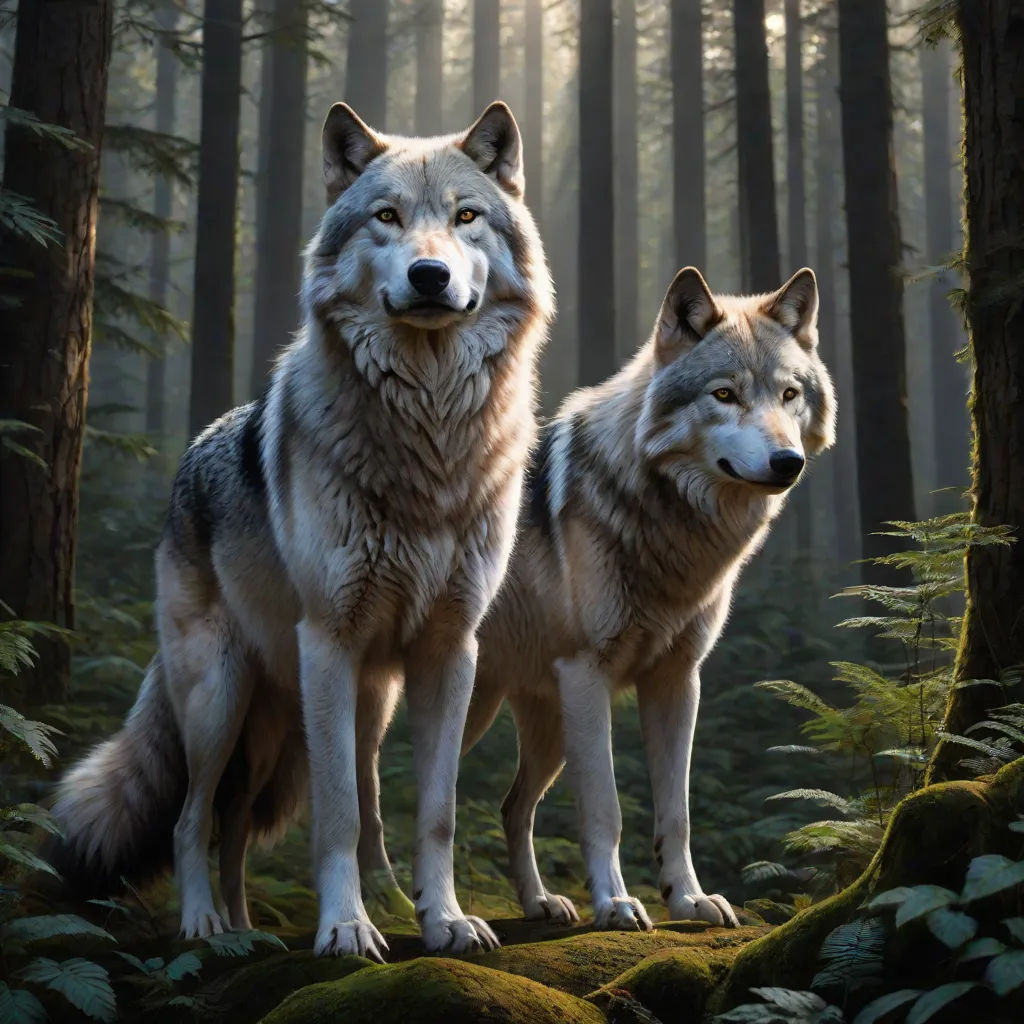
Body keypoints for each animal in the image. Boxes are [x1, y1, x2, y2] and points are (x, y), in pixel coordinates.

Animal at [51, 101, 552, 960]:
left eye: (466, 218)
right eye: (387, 217)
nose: (429, 275)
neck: (428, 440)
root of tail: (189, 459)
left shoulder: (450, 652)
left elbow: (437, 811)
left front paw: (444, 921)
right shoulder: (330, 643)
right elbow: (339, 815)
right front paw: (346, 928)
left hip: (340, 712)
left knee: (241, 828)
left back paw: (252, 927)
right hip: (222, 700)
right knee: (191, 818)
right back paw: (204, 927)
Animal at [461, 266, 836, 931]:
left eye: (790, 394)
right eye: (724, 395)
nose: (787, 462)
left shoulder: (677, 680)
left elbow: (676, 811)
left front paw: (688, 899)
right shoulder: (588, 676)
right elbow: (606, 810)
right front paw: (616, 903)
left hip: (547, 728)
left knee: (512, 806)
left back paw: (539, 903)